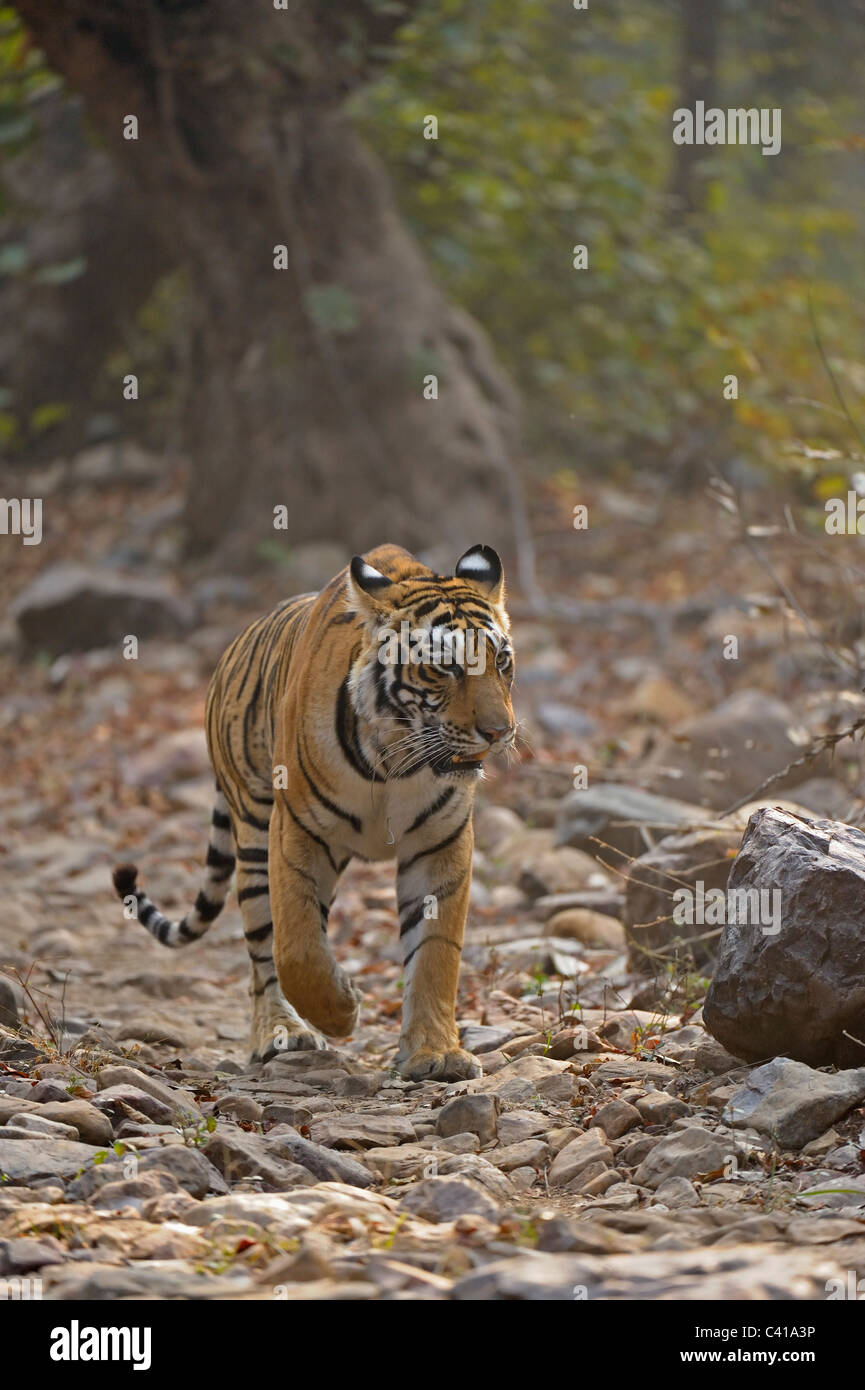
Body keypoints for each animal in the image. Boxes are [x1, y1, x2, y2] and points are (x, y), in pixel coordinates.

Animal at [113, 543, 516, 1082]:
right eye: (445, 667)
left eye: (502, 662)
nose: (500, 732)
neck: (398, 759)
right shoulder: (296, 831)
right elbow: (296, 950)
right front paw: (342, 1010)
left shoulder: (440, 843)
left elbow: (435, 953)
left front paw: (436, 1053)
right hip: (254, 829)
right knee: (264, 950)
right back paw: (280, 1033)